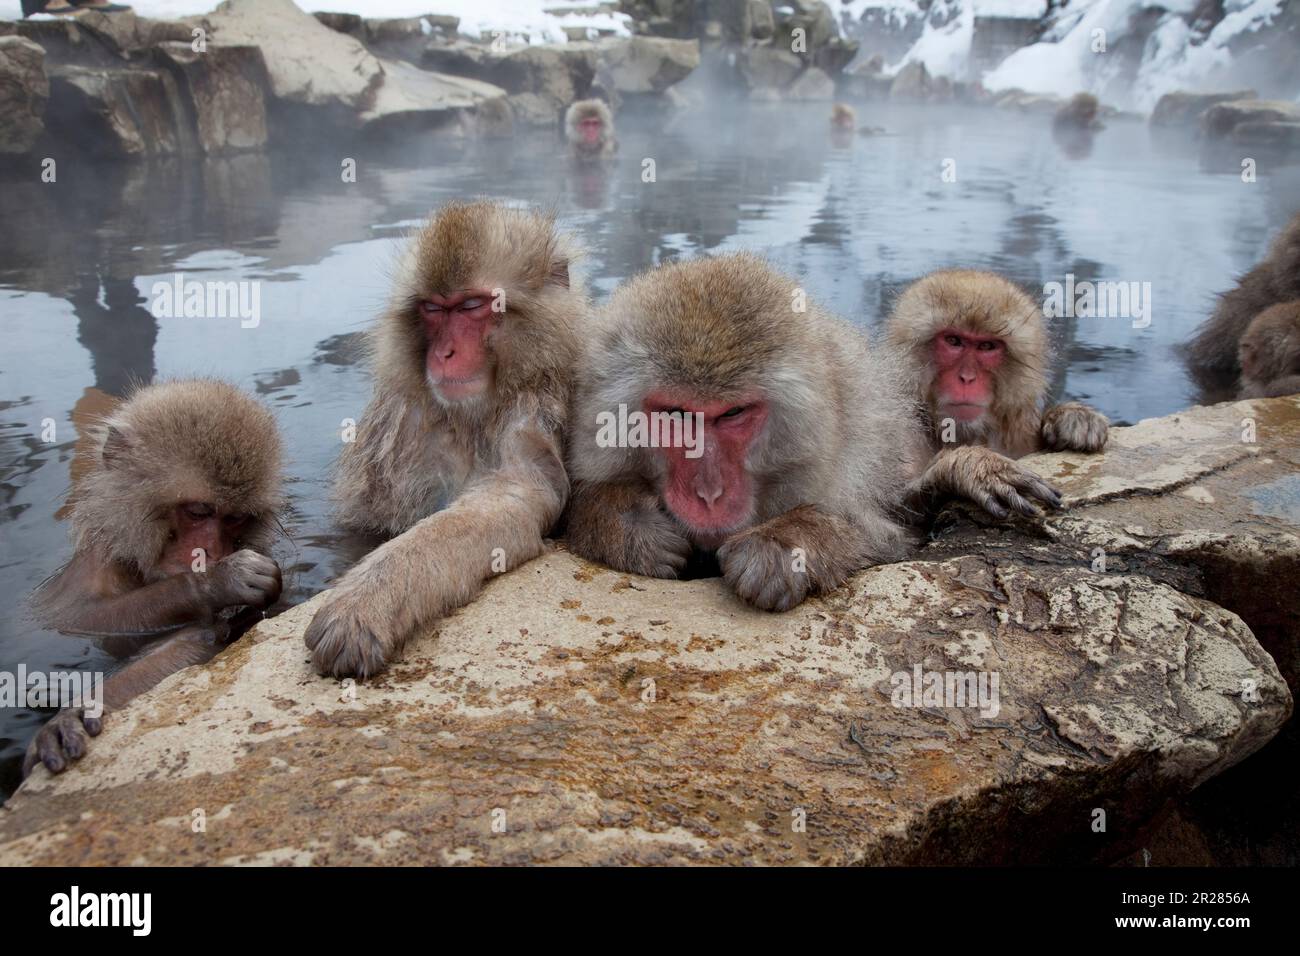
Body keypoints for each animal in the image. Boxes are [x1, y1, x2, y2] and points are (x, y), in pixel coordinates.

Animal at [24, 378, 284, 777]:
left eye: (236, 518)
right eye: (199, 511)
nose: (211, 552)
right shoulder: (91, 575)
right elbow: (85, 618)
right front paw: (215, 581)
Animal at [304, 201, 585, 678]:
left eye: (471, 306)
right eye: (433, 310)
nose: (444, 354)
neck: (472, 417)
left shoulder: (536, 406)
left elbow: (517, 496)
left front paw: (368, 597)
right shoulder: (402, 423)